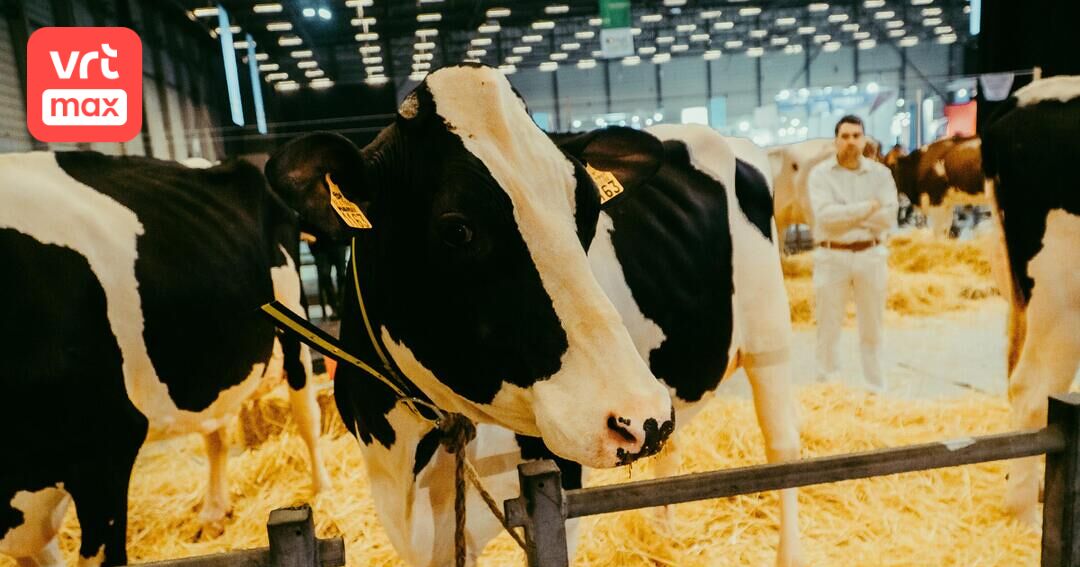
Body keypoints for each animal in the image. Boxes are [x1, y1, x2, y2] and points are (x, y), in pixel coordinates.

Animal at [0, 154, 330, 567]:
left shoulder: (110, 444)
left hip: (292, 319)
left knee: (306, 416)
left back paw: (322, 491)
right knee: (216, 433)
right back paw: (213, 513)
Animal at [265, 65, 803, 567]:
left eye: (588, 208)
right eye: (458, 230)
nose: (634, 417)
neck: (415, 455)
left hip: (770, 339)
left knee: (783, 448)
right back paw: (662, 533)